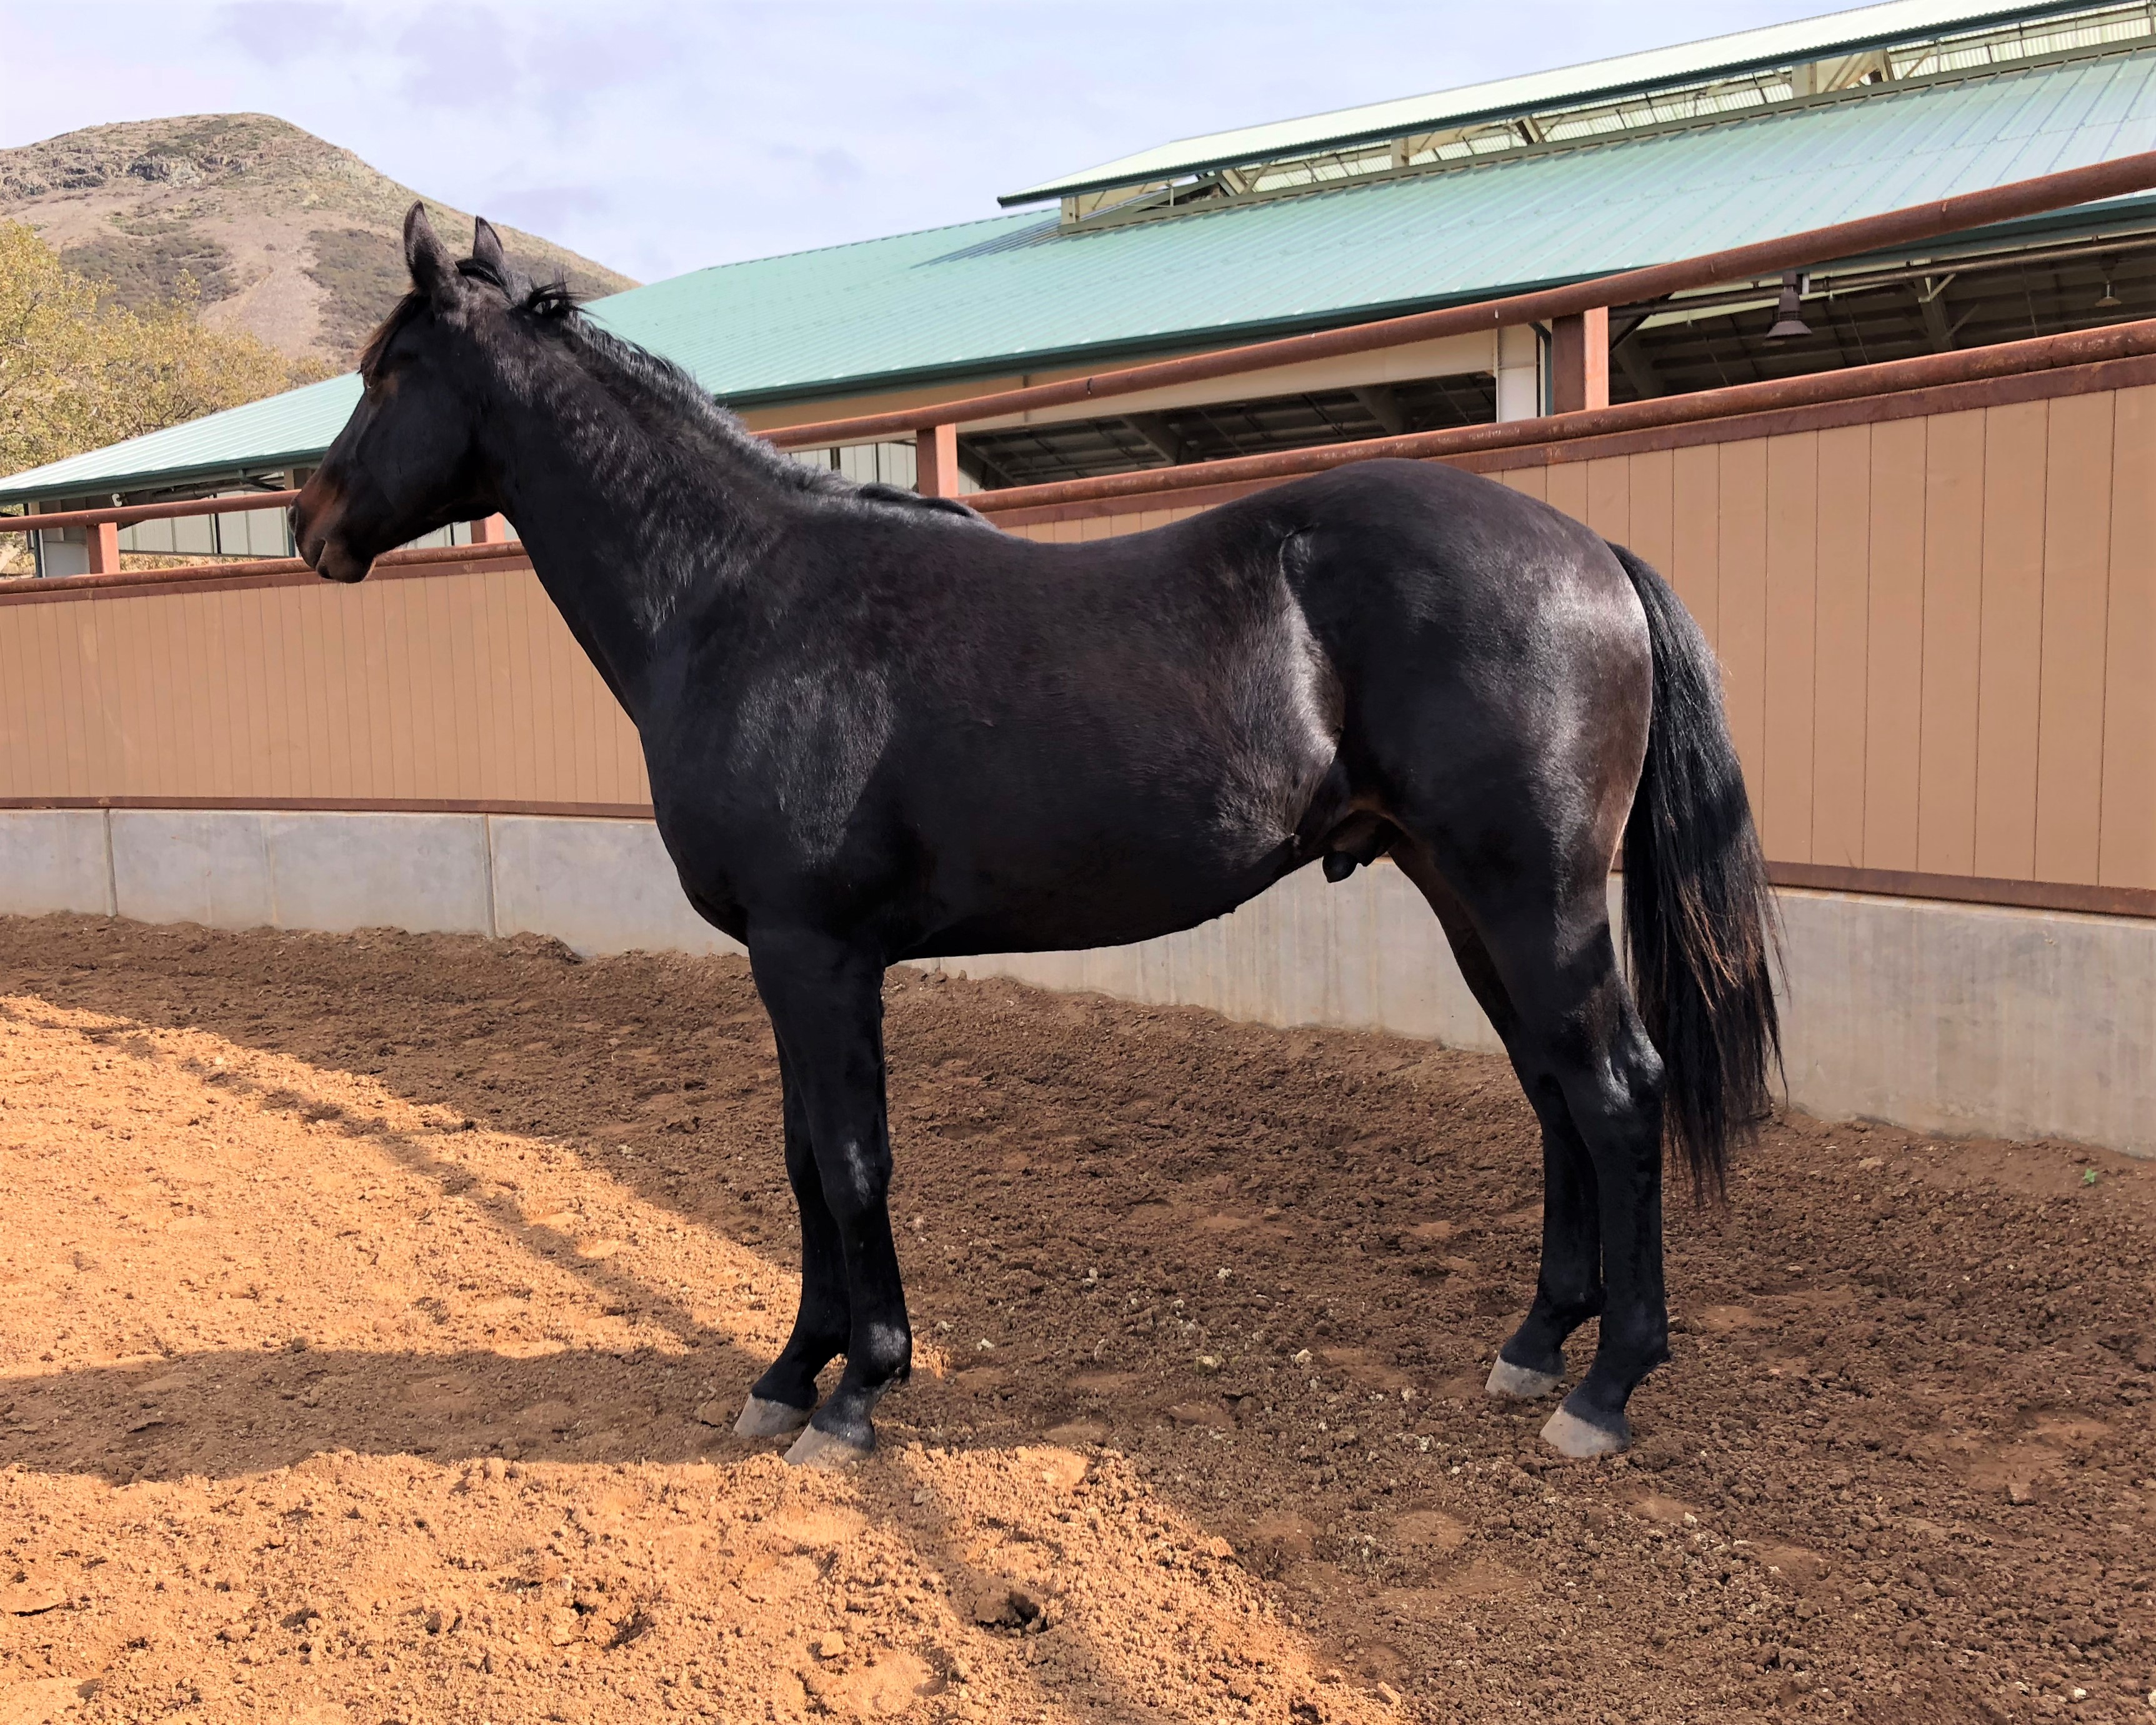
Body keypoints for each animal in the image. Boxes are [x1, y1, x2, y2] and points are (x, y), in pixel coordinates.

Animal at [294, 207, 1779, 1468]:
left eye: (386, 371)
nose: (310, 524)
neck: (738, 598)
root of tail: (1589, 553)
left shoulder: (816, 956)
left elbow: (849, 1164)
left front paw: (857, 1392)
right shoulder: (787, 965)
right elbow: (801, 1160)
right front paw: (788, 1377)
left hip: (1536, 899)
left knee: (1617, 1092)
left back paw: (1606, 1390)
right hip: (1466, 896)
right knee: (1554, 1092)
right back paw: (1536, 1346)